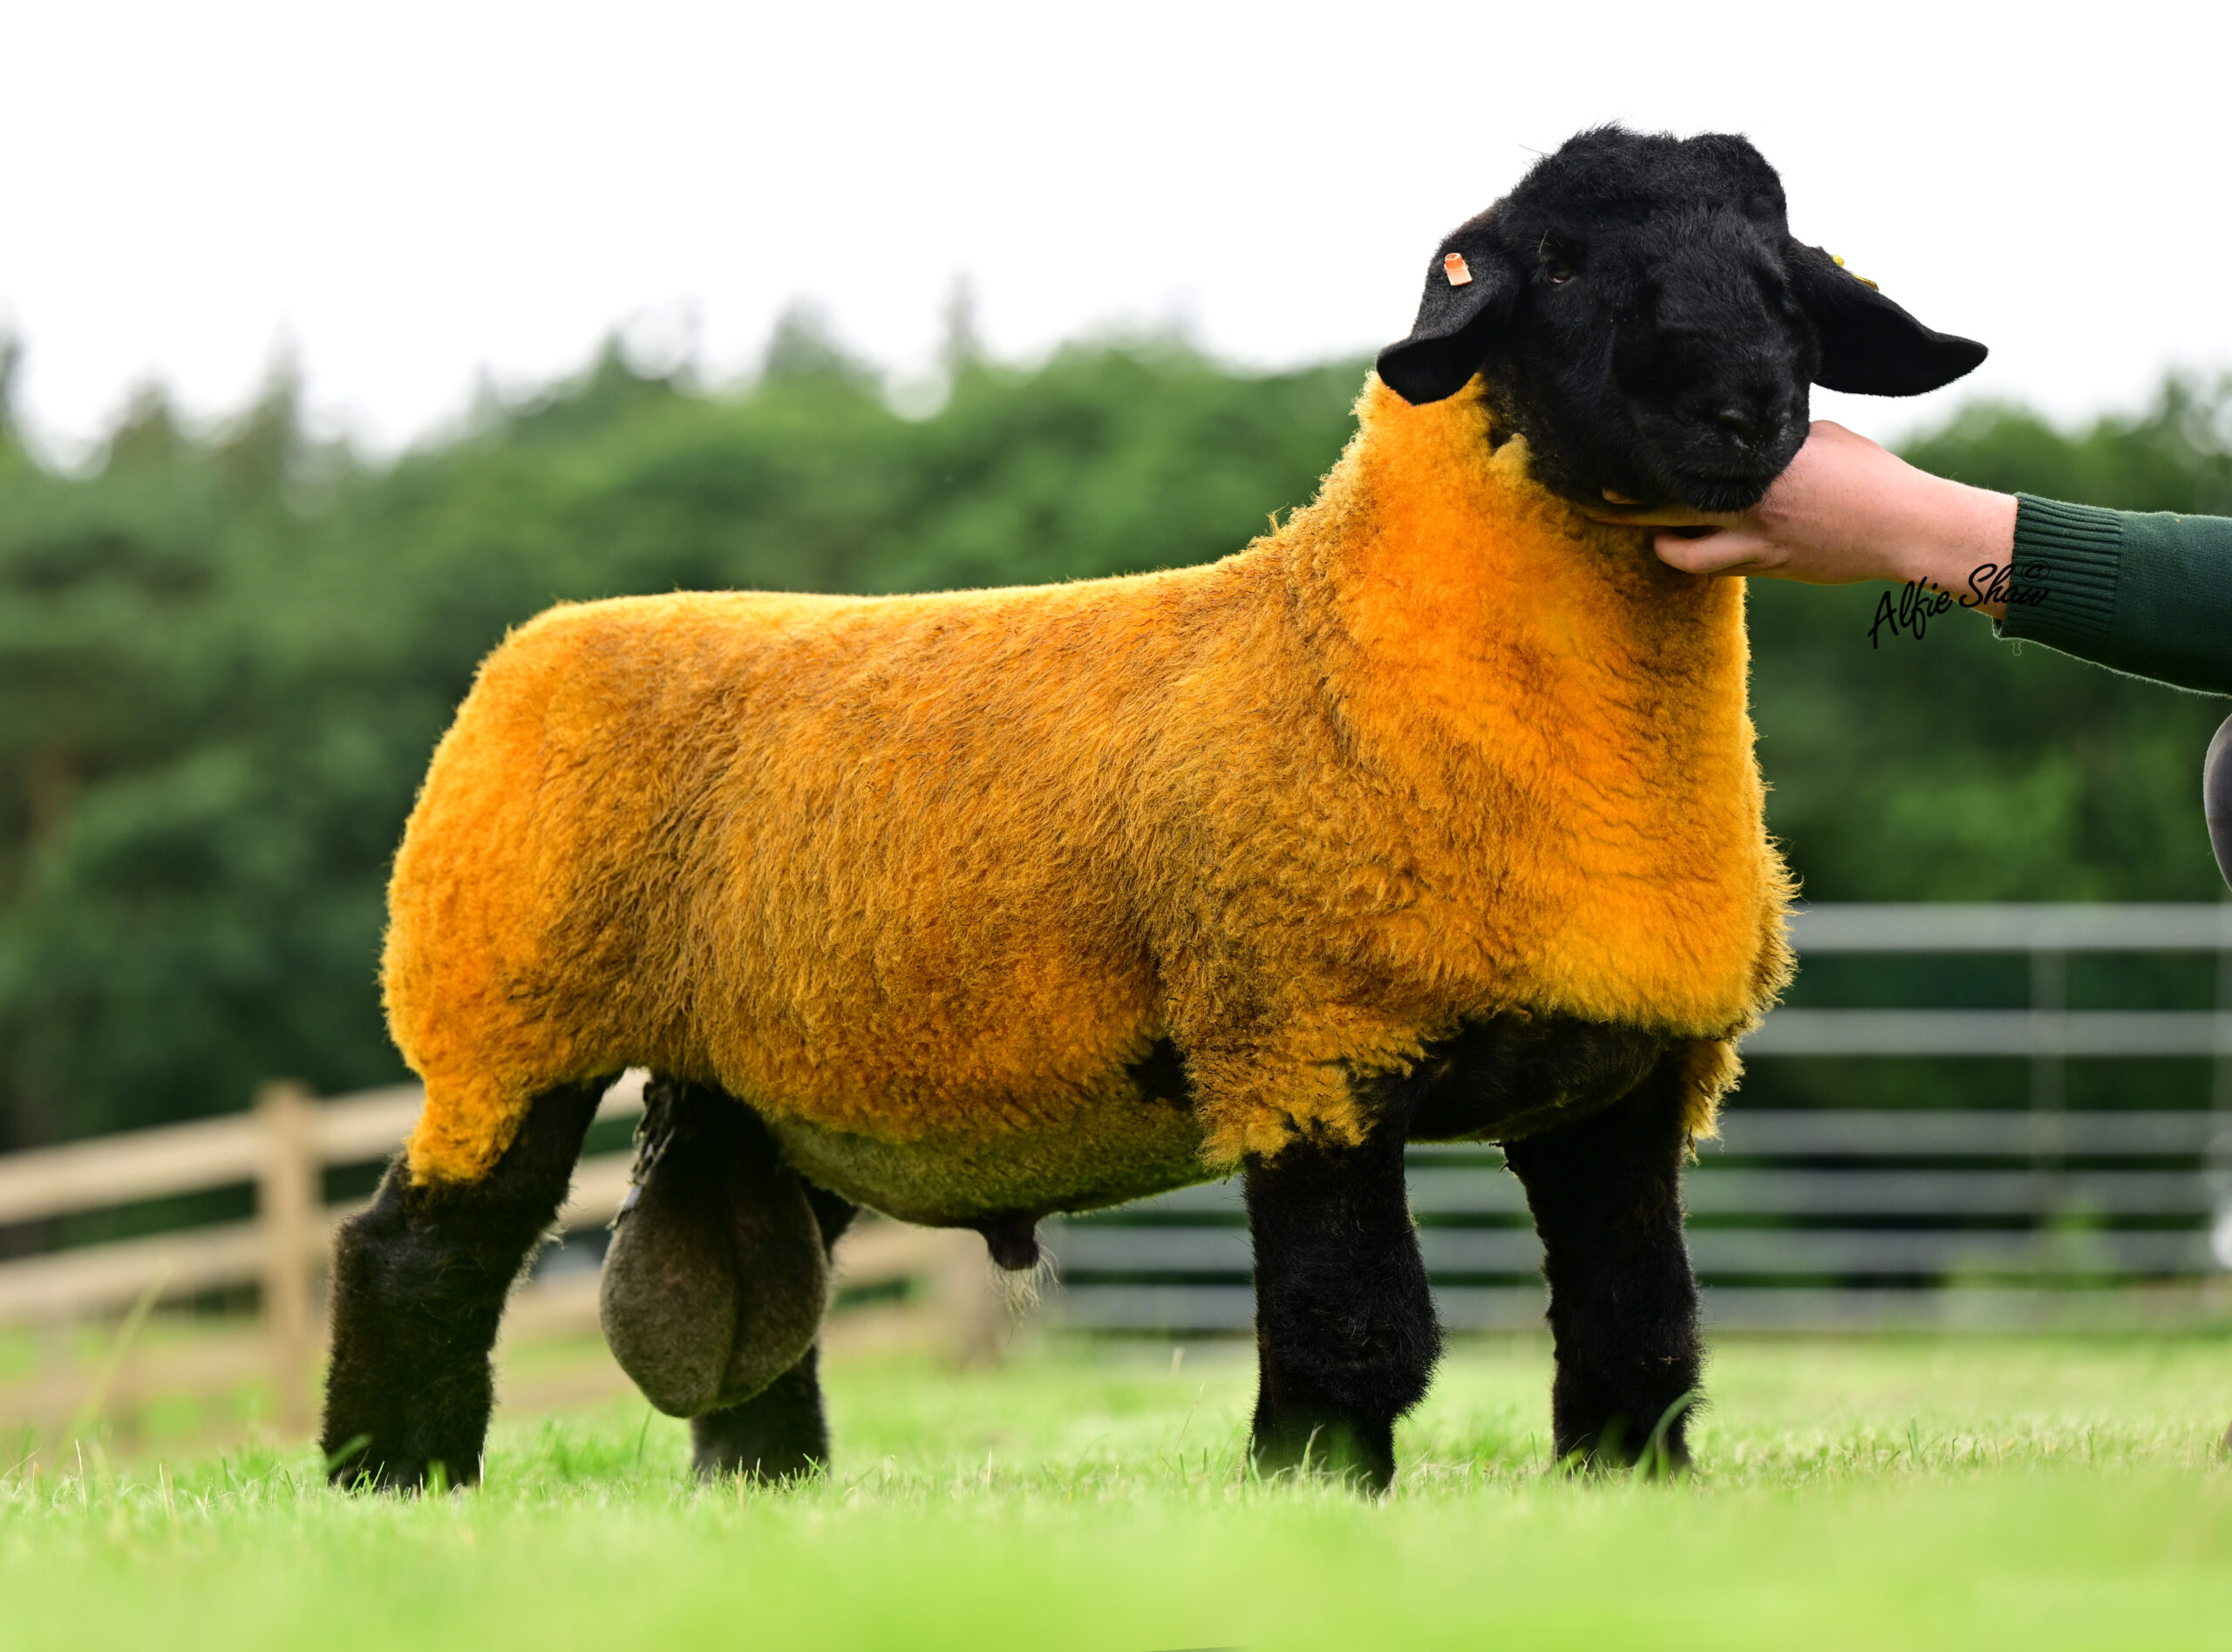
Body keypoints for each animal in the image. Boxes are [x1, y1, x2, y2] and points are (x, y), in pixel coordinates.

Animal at [321, 125, 1985, 1493]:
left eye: (1782, 277)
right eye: (1561, 265)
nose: (1742, 408)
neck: (1347, 635)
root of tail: (536, 643)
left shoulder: (1631, 1082)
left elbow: (1641, 1328)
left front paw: (1625, 1491)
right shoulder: (1305, 1036)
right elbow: (1353, 1322)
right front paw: (1316, 1492)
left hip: (759, 1069)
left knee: (756, 1290)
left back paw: (766, 1495)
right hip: (501, 1017)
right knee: (414, 1250)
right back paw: (393, 1487)